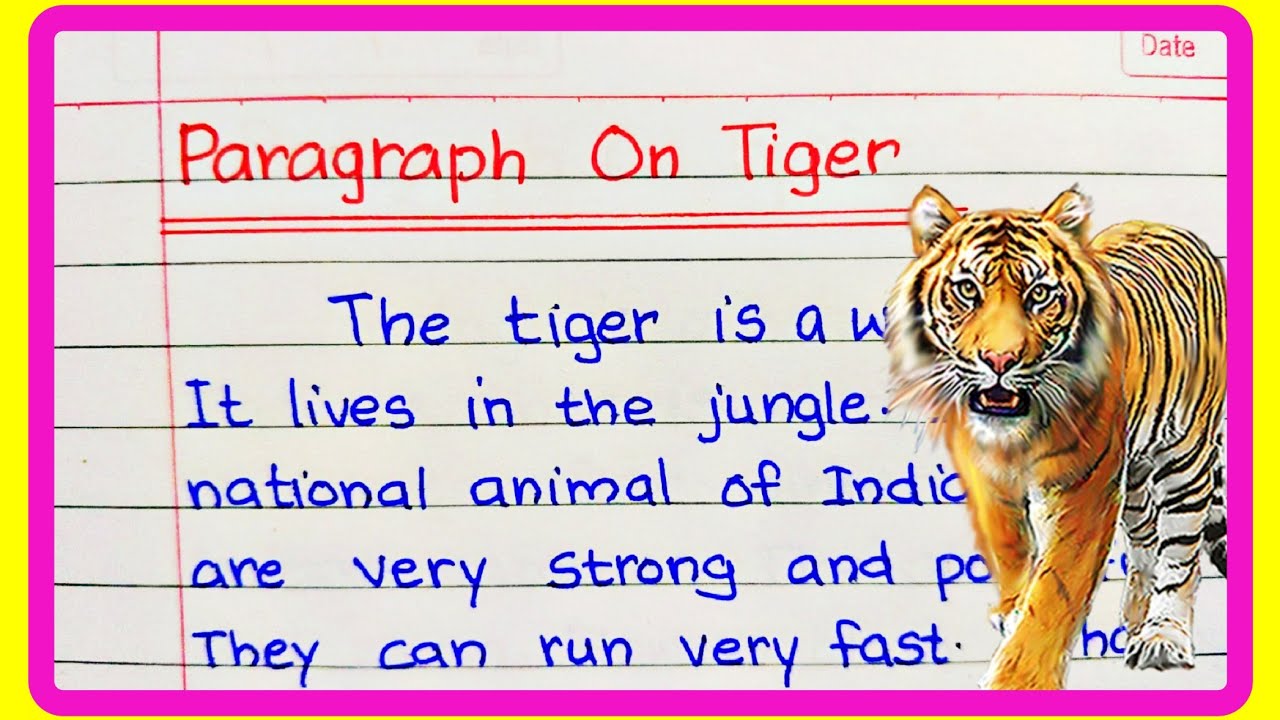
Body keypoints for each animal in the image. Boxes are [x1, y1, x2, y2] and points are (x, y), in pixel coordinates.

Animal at [883, 184, 1227, 690]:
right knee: (1146, 538)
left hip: (1185, 458)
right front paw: (1012, 608)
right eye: (968, 290)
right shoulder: (985, 473)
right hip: (1137, 473)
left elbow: (1057, 586)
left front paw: (1017, 679)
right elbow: (1009, 547)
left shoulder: (1085, 486)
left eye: (1040, 294)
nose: (1000, 359)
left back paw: (1163, 636)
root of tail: (1169, 227)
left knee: (1180, 554)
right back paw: (1134, 617)